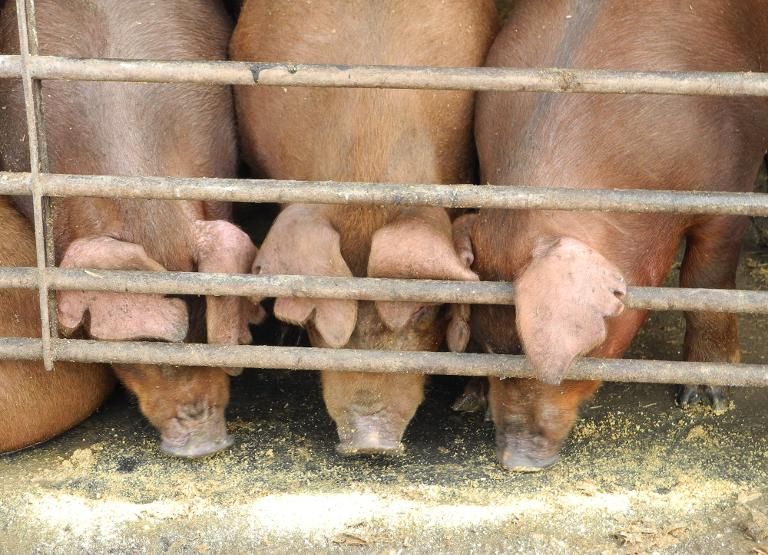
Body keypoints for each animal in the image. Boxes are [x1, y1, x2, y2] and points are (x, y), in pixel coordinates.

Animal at [464, 0, 768, 470]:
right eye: (487, 347)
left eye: (578, 353)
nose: (515, 460)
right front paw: (471, 401)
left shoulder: (728, 188)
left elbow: (705, 282)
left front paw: (704, 399)